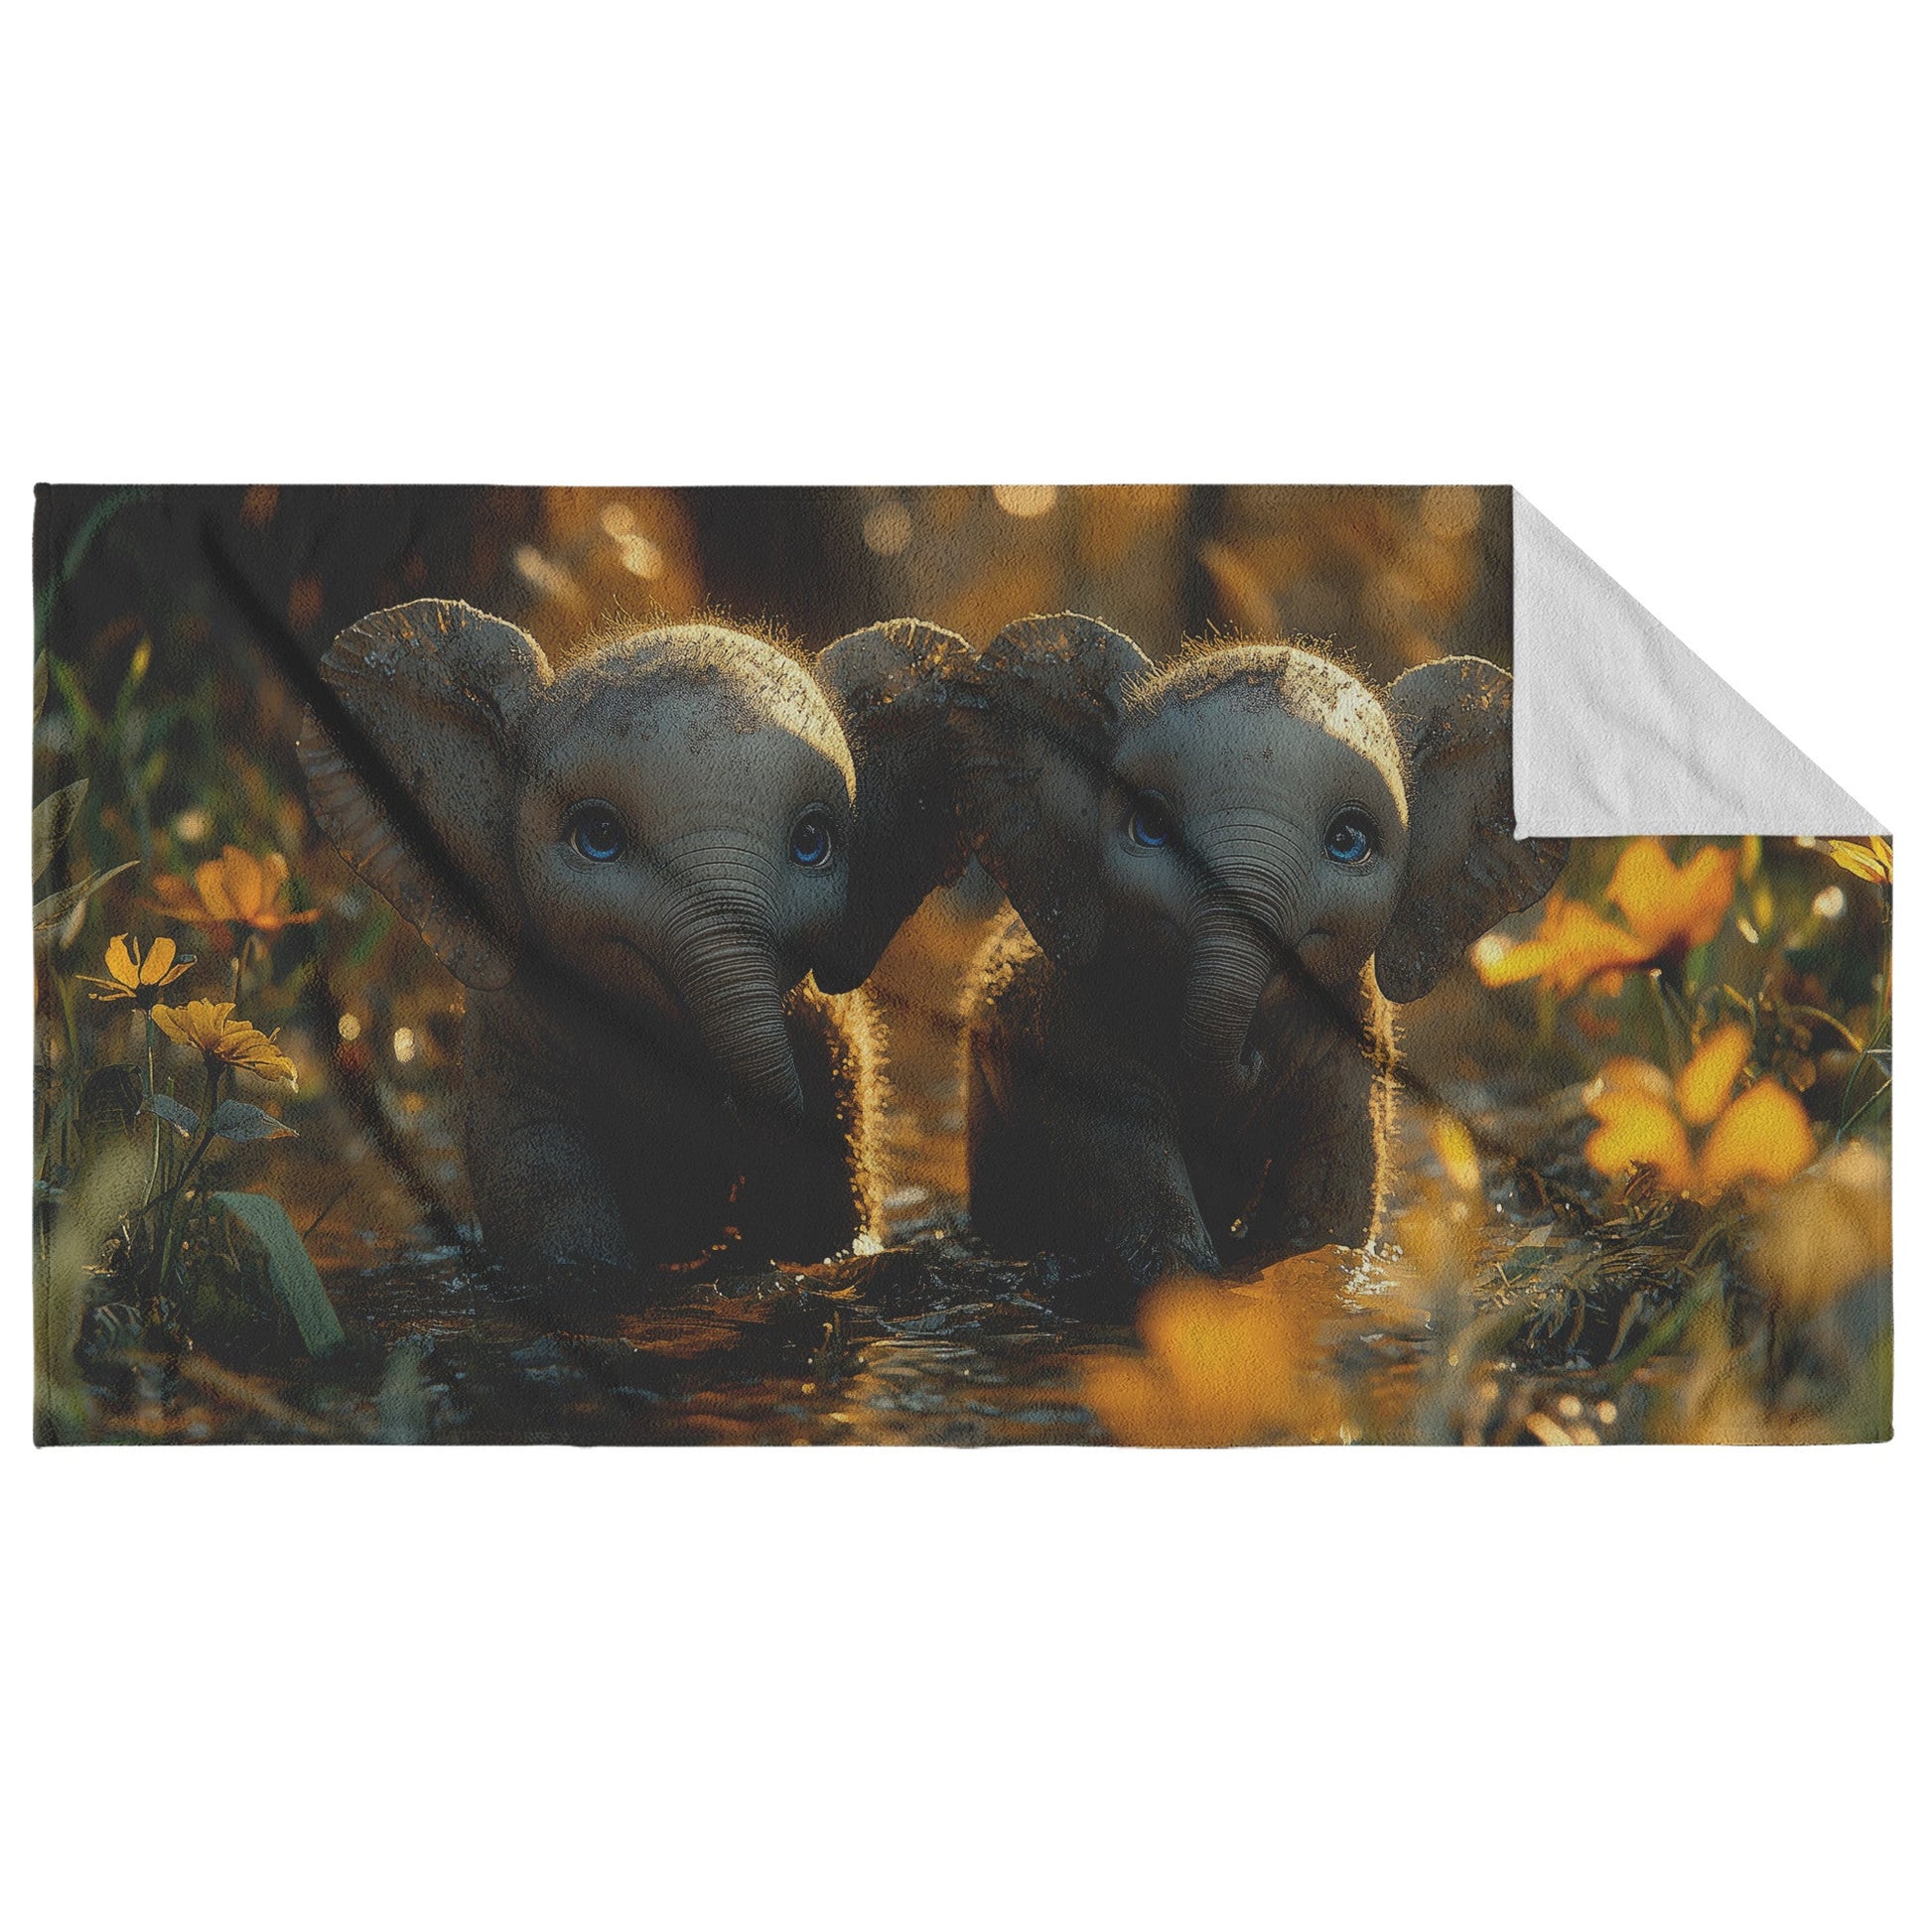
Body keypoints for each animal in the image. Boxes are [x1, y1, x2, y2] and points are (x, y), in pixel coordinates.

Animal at [951, 613, 1569, 1287]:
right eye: (1150, 827)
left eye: (1349, 840)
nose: (1250, 1060)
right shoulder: (1068, 1035)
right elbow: (1146, 1212)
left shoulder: (1349, 1050)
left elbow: (1325, 1216)